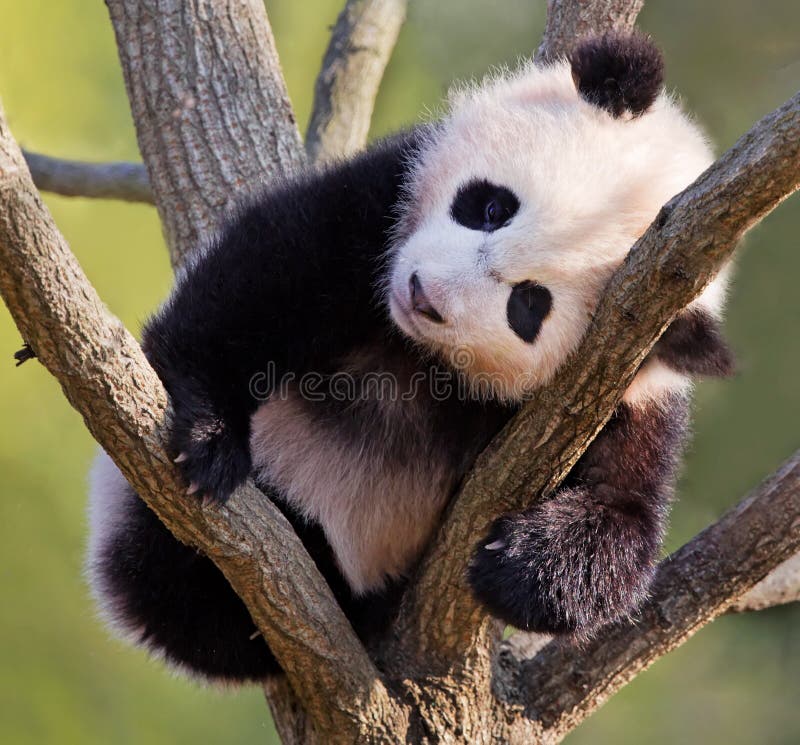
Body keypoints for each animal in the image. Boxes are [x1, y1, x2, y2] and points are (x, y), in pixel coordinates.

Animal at [87, 32, 733, 683]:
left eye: (529, 304)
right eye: (491, 208)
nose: (425, 295)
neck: (423, 354)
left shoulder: (625, 389)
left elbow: (626, 512)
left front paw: (519, 563)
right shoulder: (384, 197)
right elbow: (265, 280)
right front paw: (209, 433)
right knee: (167, 581)